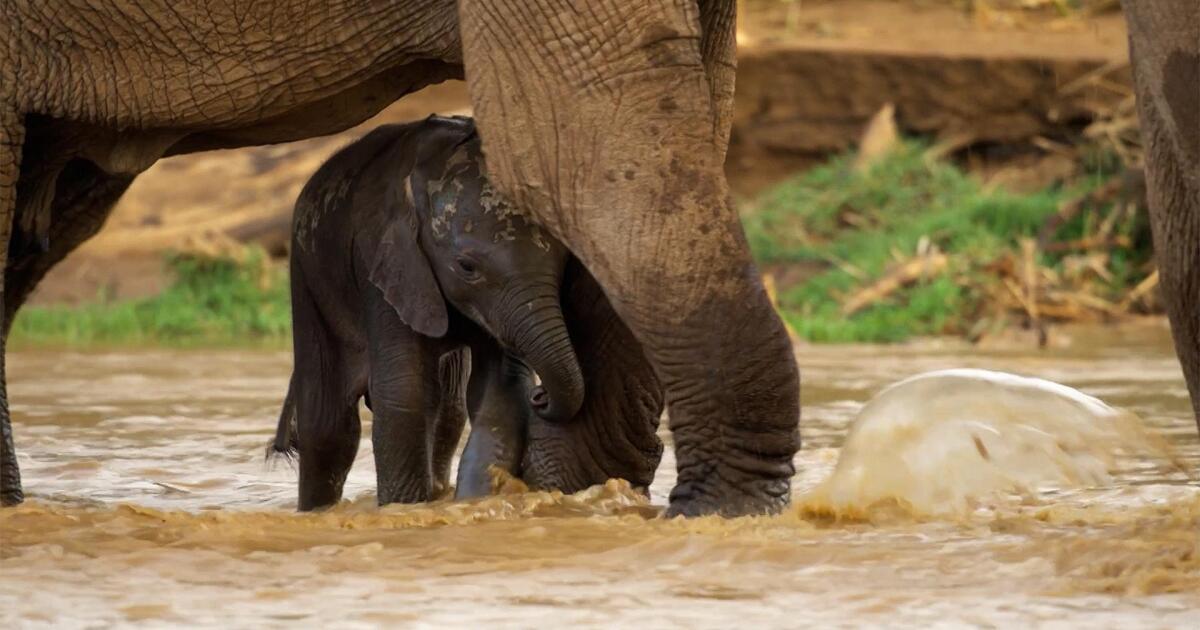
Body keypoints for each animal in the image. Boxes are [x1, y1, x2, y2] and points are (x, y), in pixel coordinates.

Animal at [0, 1, 801, 517]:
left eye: (563, 269)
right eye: (469, 268)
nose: (550, 399)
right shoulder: (389, 273)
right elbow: (581, 144)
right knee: (331, 418)